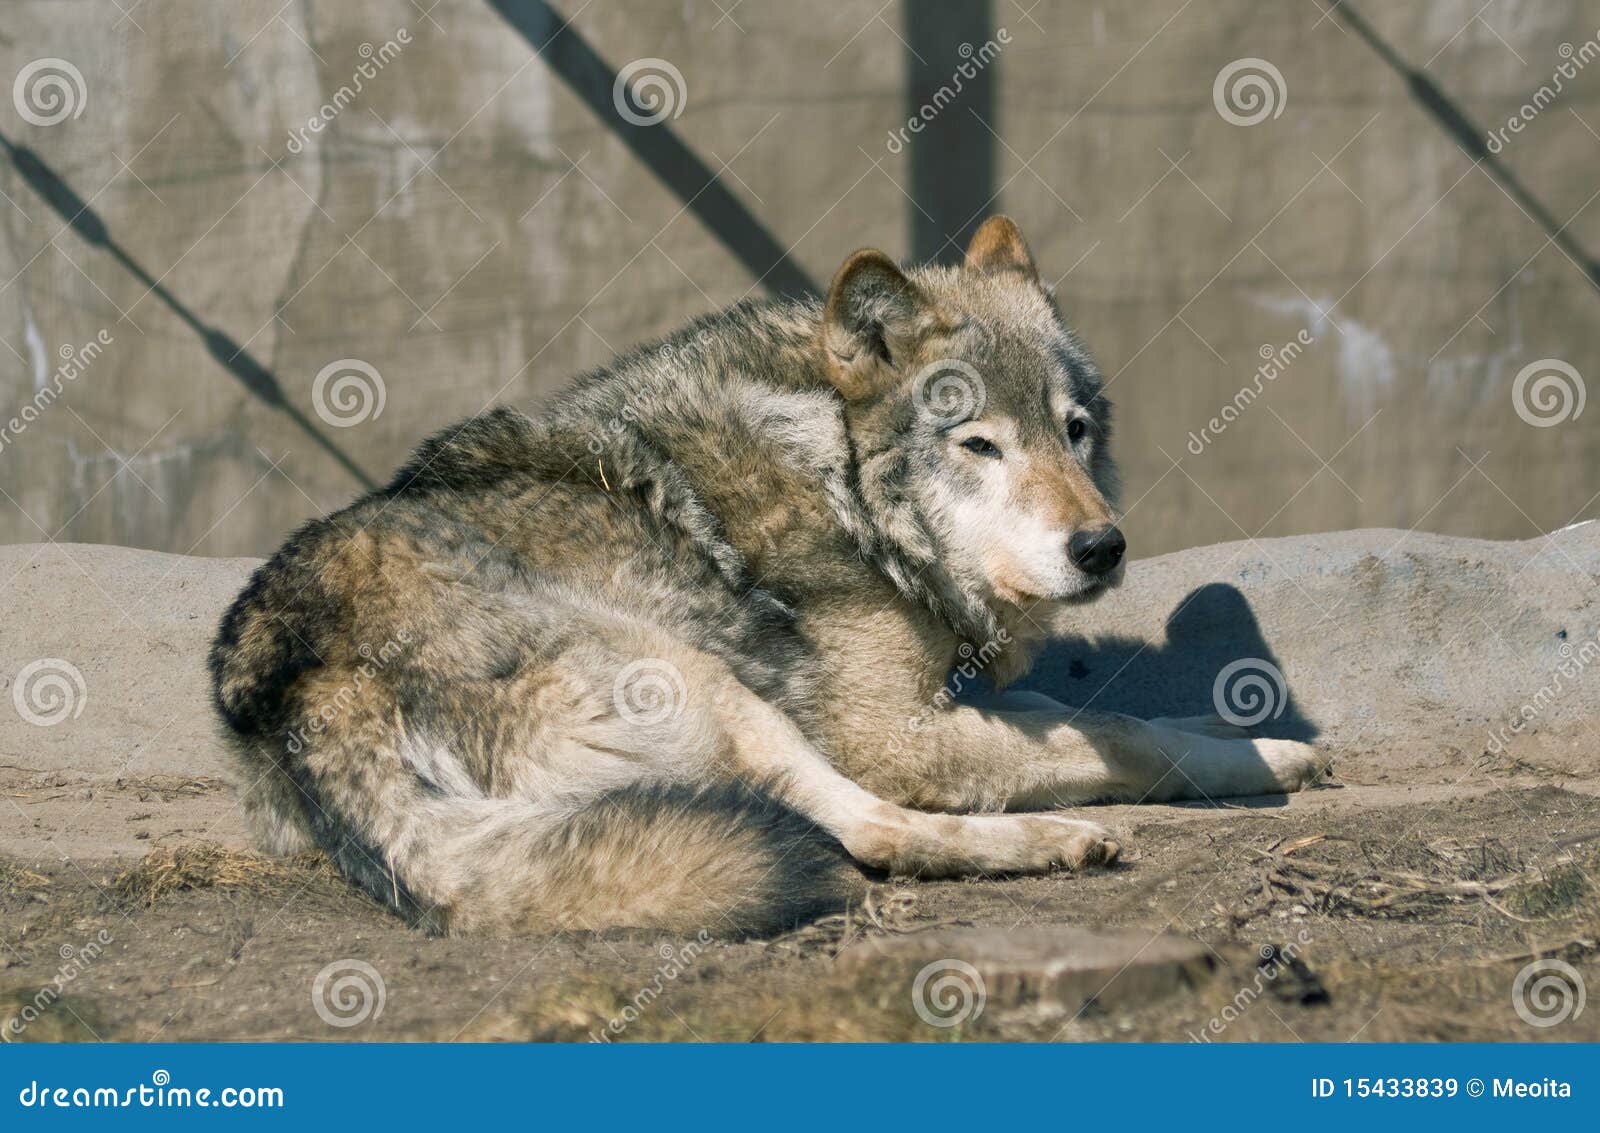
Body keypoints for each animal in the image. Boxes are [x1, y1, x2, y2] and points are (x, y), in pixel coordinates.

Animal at [210, 217, 1329, 937]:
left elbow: (1100, 714)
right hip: (715, 690)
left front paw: (1255, 737)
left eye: (1076, 429)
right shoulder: (887, 731)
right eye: (979, 444)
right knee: (873, 833)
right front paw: (1264, 760)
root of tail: (304, 684)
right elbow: (1122, 734)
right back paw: (1055, 841)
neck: (834, 463)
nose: (1102, 548)